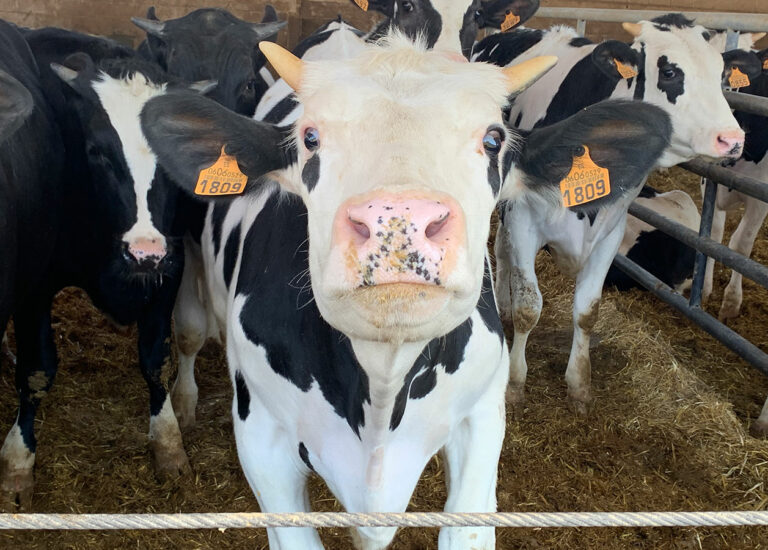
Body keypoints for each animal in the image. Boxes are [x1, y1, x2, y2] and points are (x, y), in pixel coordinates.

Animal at [0, 27, 209, 507]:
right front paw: (19, 462)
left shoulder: (168, 268)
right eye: (98, 152)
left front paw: (168, 444)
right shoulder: (35, 288)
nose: (144, 250)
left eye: (174, 158)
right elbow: (36, 372)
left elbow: (156, 359)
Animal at [142, 35, 671, 549]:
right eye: (310, 137)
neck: (381, 388)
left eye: (493, 139)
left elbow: (468, 527)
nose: (398, 220)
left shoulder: (482, 416)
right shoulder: (260, 436)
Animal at [477, 14, 751, 413]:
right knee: (499, 250)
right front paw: (514, 384)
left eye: (720, 74)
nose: (732, 139)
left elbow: (587, 310)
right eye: (670, 71)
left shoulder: (612, 230)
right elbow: (530, 307)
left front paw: (579, 385)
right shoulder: (524, 218)